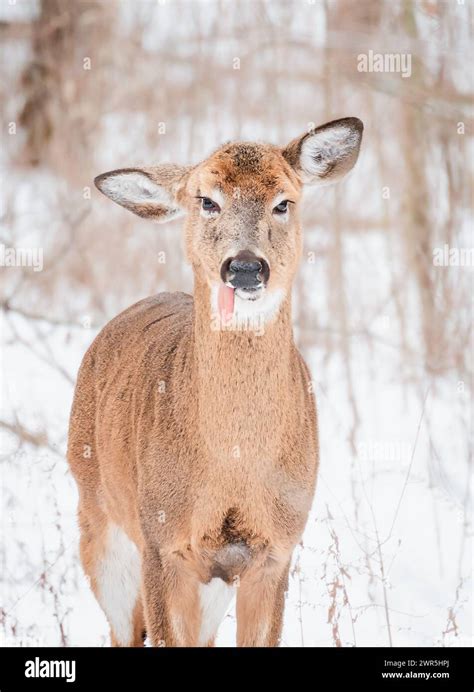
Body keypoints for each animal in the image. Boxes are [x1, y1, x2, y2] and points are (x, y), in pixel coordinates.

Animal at [67, 117, 363, 647]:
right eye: (206, 200)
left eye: (283, 201)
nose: (245, 267)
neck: (234, 466)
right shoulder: (162, 542)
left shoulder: (275, 550)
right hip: (99, 521)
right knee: (122, 630)